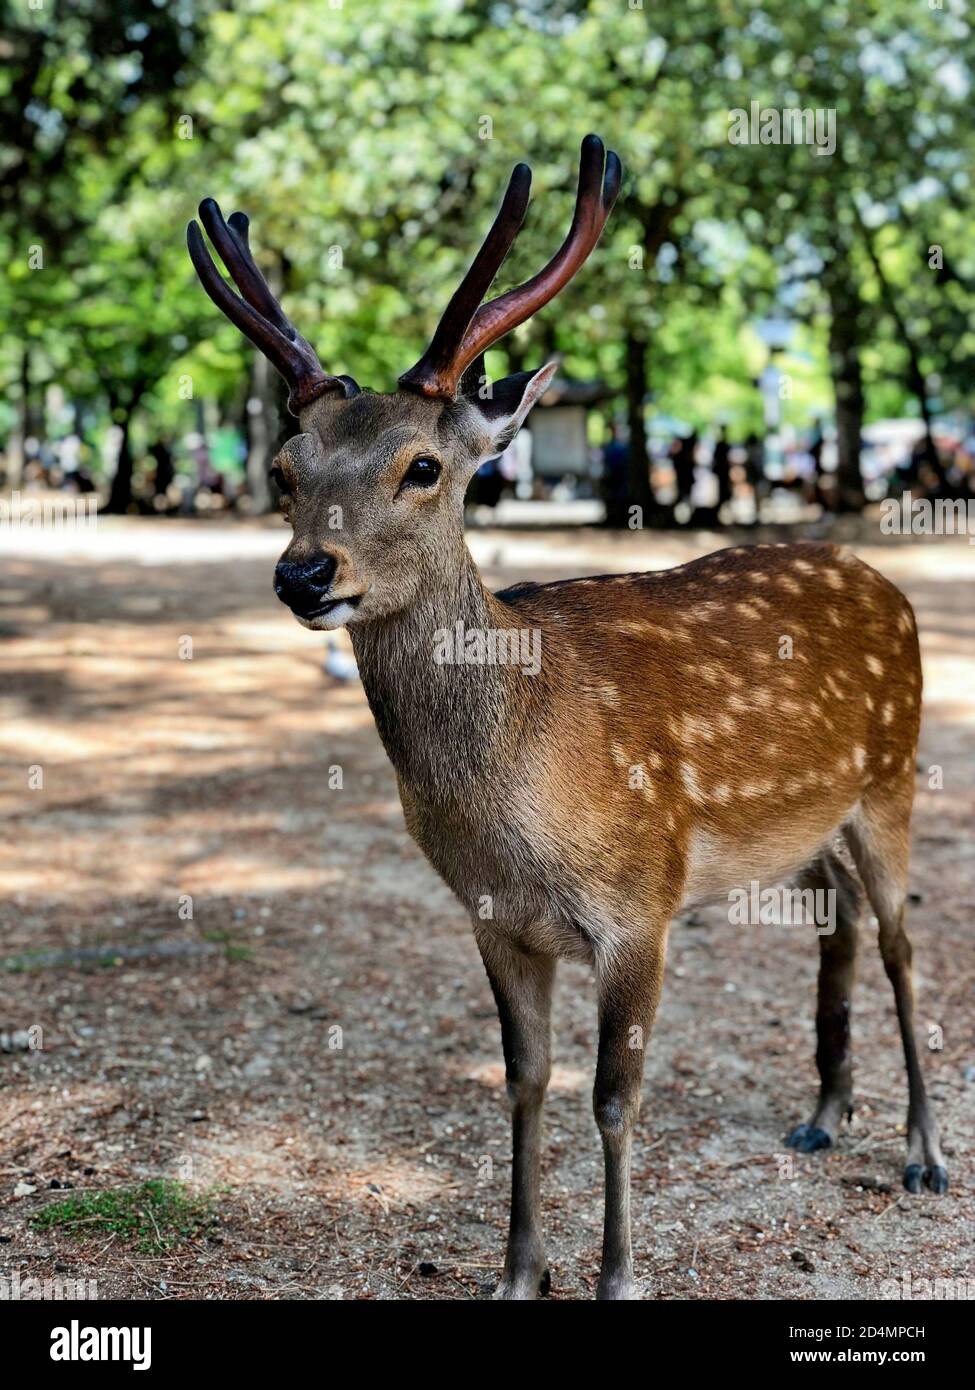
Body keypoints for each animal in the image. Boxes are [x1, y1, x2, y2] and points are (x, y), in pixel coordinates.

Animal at [188, 134, 948, 1301]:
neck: (519, 794)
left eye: (423, 466)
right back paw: (823, 1113)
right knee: (840, 918)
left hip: (894, 775)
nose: (304, 573)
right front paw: (517, 1273)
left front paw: (618, 1277)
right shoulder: (494, 918)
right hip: (805, 826)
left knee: (909, 942)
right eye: (283, 469)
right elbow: (523, 1082)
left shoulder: (641, 899)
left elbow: (613, 1097)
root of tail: (884, 582)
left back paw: (921, 1152)